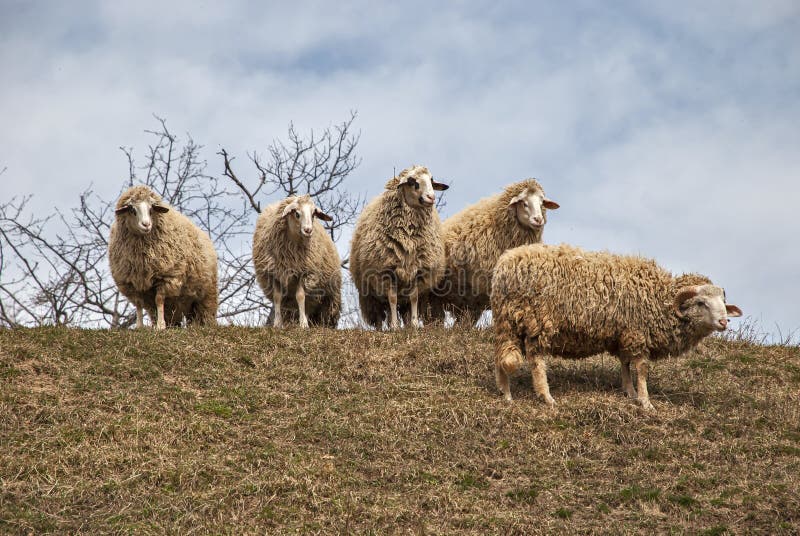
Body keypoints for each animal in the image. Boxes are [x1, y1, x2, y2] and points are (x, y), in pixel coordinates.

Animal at [108, 185, 218, 329]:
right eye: (132, 209)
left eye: (151, 209)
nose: (146, 224)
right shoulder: (131, 282)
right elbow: (138, 303)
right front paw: (139, 327)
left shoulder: (166, 277)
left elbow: (159, 299)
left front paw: (161, 326)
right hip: (178, 304)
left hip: (205, 296)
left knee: (203, 314)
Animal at [252, 194, 341, 328]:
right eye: (297, 214)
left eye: (313, 214)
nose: (308, 230)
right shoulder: (274, 274)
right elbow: (277, 297)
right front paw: (277, 324)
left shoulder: (302, 272)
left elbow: (300, 296)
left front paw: (303, 324)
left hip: (329, 297)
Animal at [349, 165, 449, 330]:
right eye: (412, 181)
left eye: (431, 180)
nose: (431, 197)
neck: (408, 237)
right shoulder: (387, 271)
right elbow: (392, 298)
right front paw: (395, 326)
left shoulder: (417, 270)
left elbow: (413, 297)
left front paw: (414, 324)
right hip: (371, 294)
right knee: (381, 312)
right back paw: (384, 327)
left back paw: (405, 324)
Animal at [491, 244, 742, 410]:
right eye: (701, 302)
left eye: (722, 302)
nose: (723, 322)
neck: (658, 297)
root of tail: (505, 265)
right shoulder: (638, 334)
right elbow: (641, 368)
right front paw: (645, 401)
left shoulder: (624, 335)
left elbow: (625, 364)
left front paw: (629, 392)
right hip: (537, 320)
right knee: (536, 359)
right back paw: (546, 396)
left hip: (507, 320)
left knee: (502, 354)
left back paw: (506, 394)